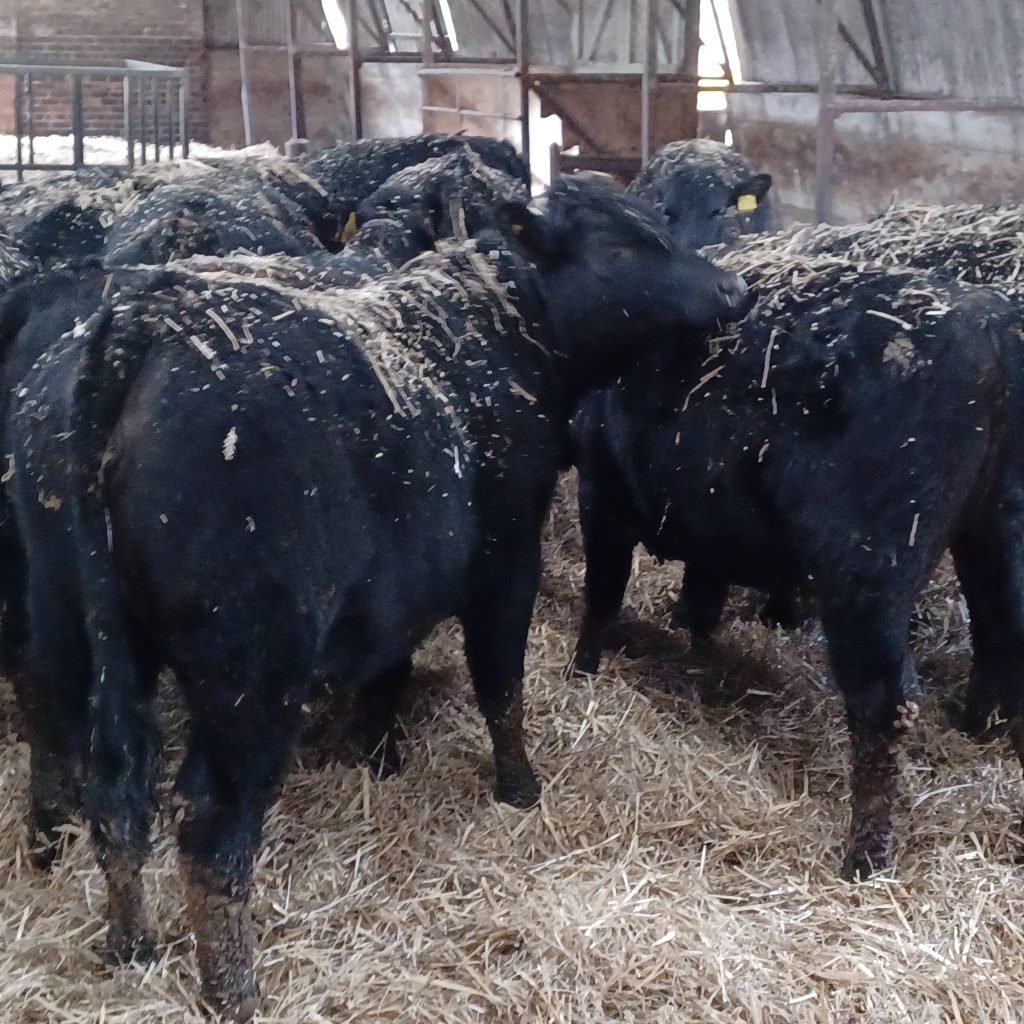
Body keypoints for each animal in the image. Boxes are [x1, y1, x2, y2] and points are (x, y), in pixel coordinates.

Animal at [3, 177, 747, 1019]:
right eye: (624, 245)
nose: (734, 287)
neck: (495, 329)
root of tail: (140, 323)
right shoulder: (506, 561)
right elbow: (501, 683)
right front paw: (520, 788)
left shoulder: (396, 593)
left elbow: (391, 671)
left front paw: (383, 759)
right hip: (251, 670)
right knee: (209, 822)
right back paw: (233, 989)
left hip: (66, 619)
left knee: (96, 768)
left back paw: (128, 942)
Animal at [569, 248, 1024, 885]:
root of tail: (987, 324)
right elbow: (700, 595)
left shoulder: (600, 488)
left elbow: (603, 593)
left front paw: (581, 672)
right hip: (998, 530)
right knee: (1002, 631)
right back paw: (981, 734)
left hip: (867, 565)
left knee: (886, 699)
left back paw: (862, 858)